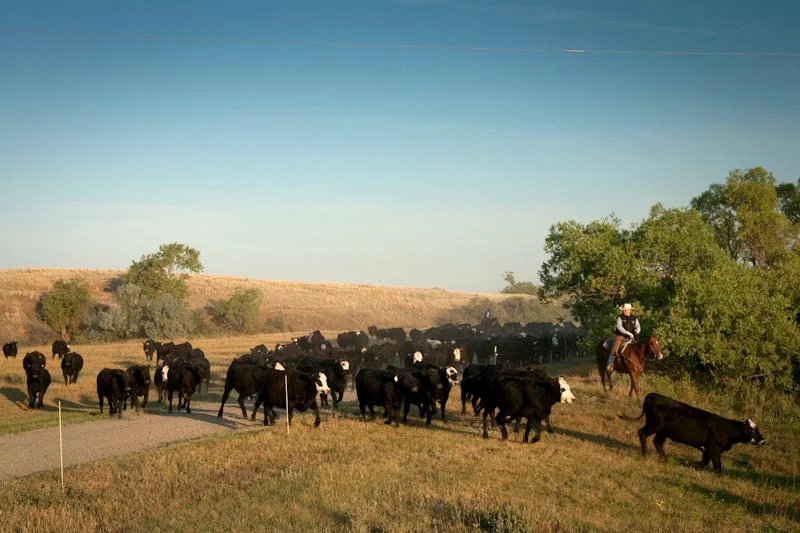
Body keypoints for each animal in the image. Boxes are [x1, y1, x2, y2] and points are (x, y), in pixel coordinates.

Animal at [619, 393, 766, 474]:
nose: (762, 440)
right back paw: (645, 454)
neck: (727, 429)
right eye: (752, 429)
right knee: (643, 433)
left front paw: (690, 464)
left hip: (663, 431)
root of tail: (653, 395)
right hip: (654, 425)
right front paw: (718, 475)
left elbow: (704, 462)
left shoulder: (707, 449)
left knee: (657, 442)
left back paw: (664, 459)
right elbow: (717, 464)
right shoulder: (713, 447)